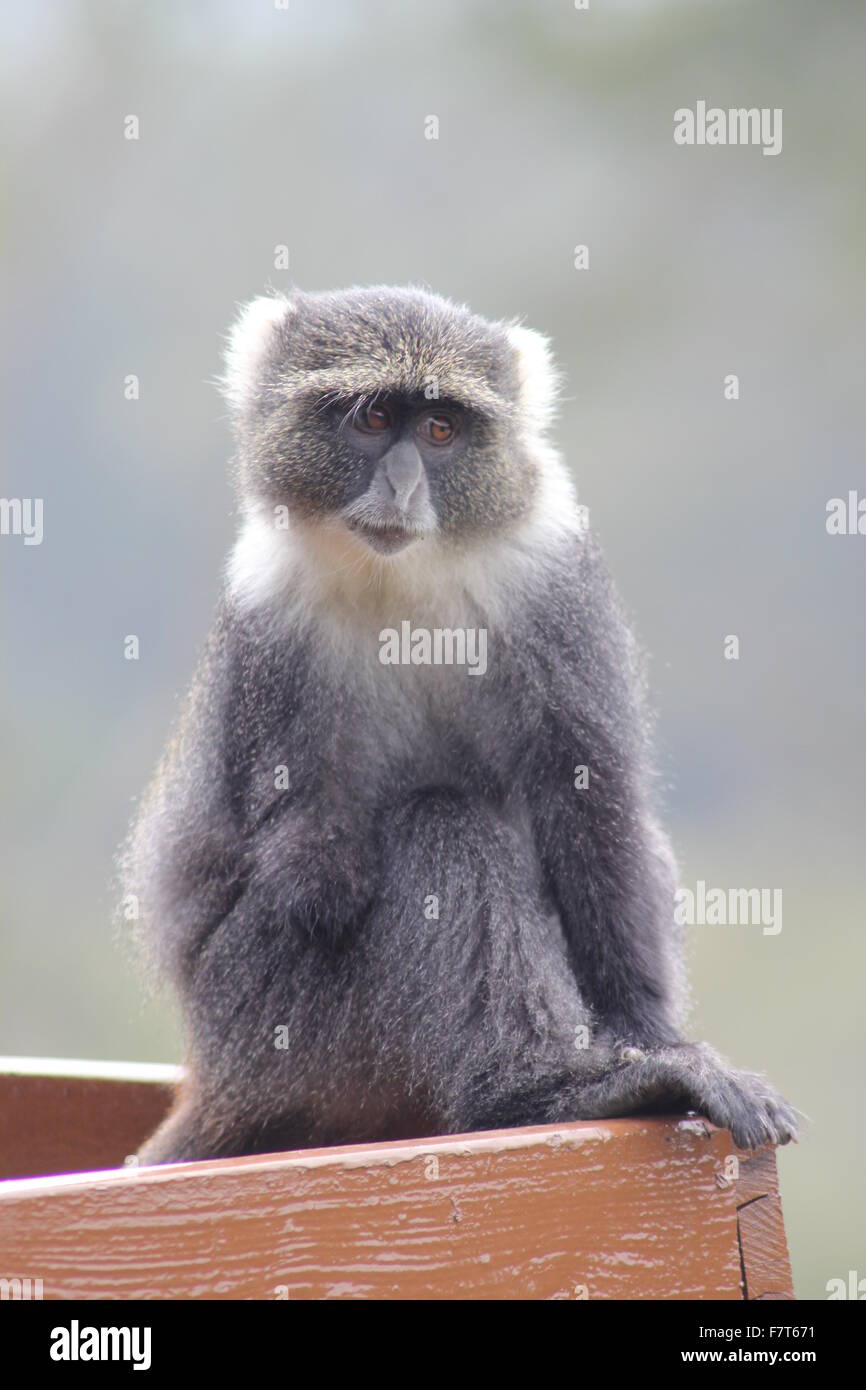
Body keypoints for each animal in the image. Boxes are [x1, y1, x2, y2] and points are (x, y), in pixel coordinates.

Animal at [124, 285, 798, 1164]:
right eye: (374, 418)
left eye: (441, 430)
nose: (404, 486)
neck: (403, 577)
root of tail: (217, 1081)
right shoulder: (267, 624)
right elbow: (308, 877)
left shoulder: (552, 585)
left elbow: (594, 806)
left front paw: (649, 1031)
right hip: (260, 1017)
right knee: (444, 827)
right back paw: (537, 1090)